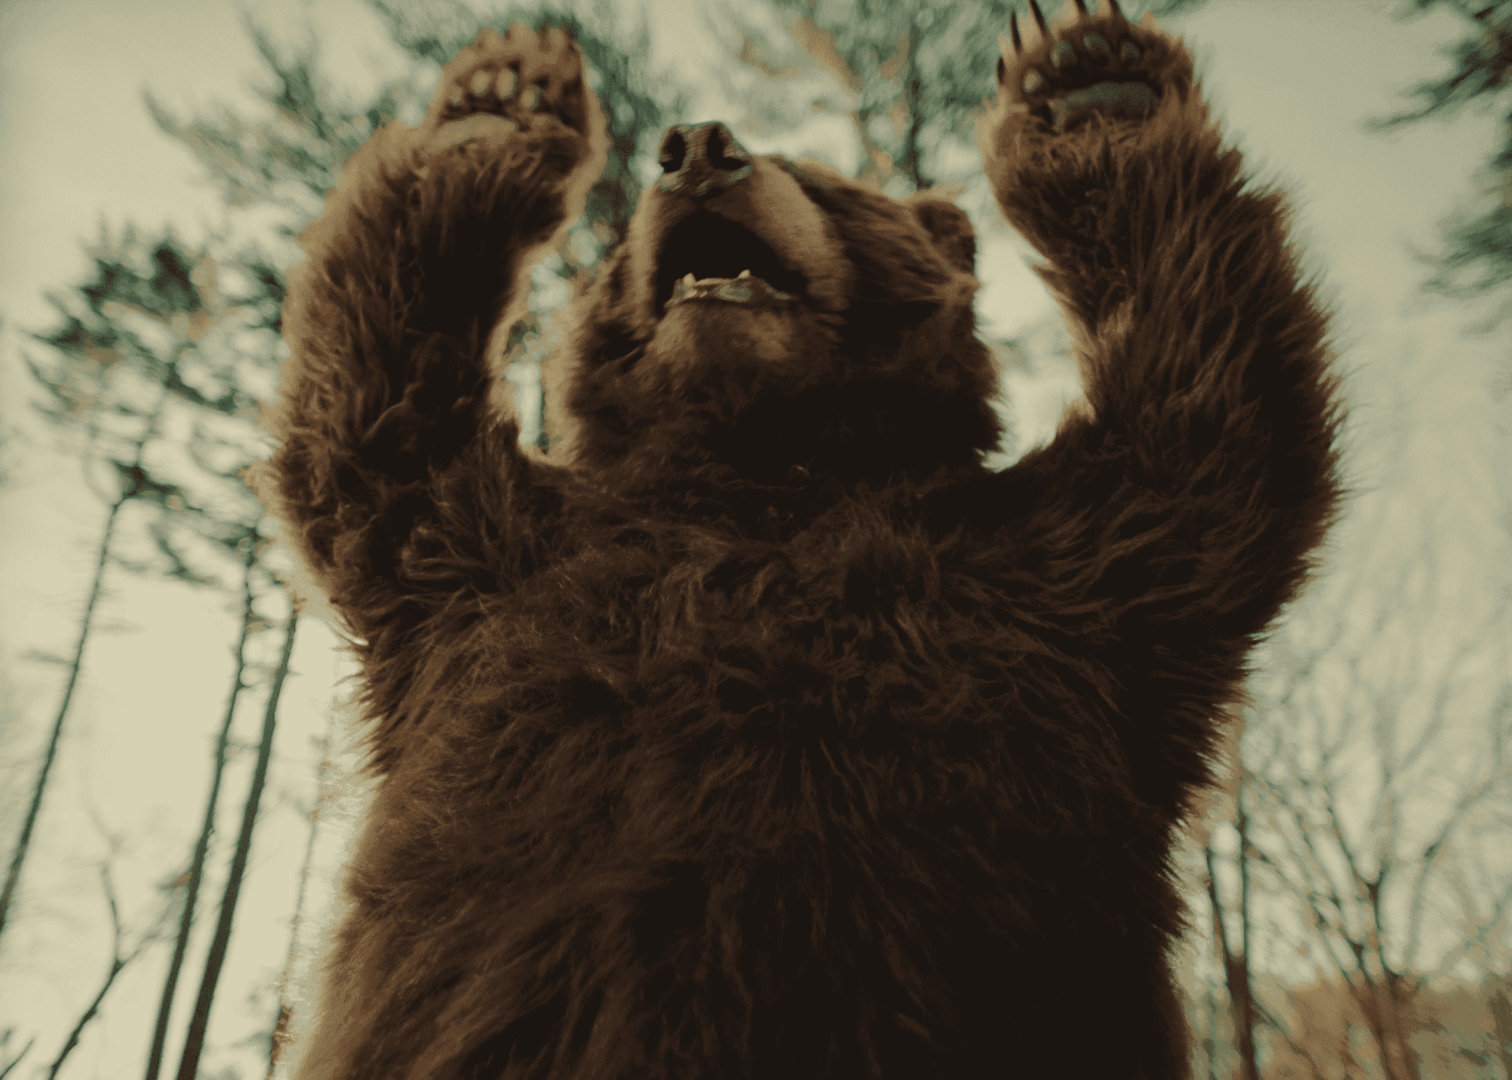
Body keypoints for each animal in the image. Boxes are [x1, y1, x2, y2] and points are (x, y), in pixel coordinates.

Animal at [248, 2, 1342, 1077]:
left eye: (817, 180)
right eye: (660, 170)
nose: (697, 149)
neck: (763, 473)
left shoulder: (1067, 566)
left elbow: (1208, 419)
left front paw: (1090, 80)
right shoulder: (490, 552)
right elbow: (377, 415)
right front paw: (499, 96)